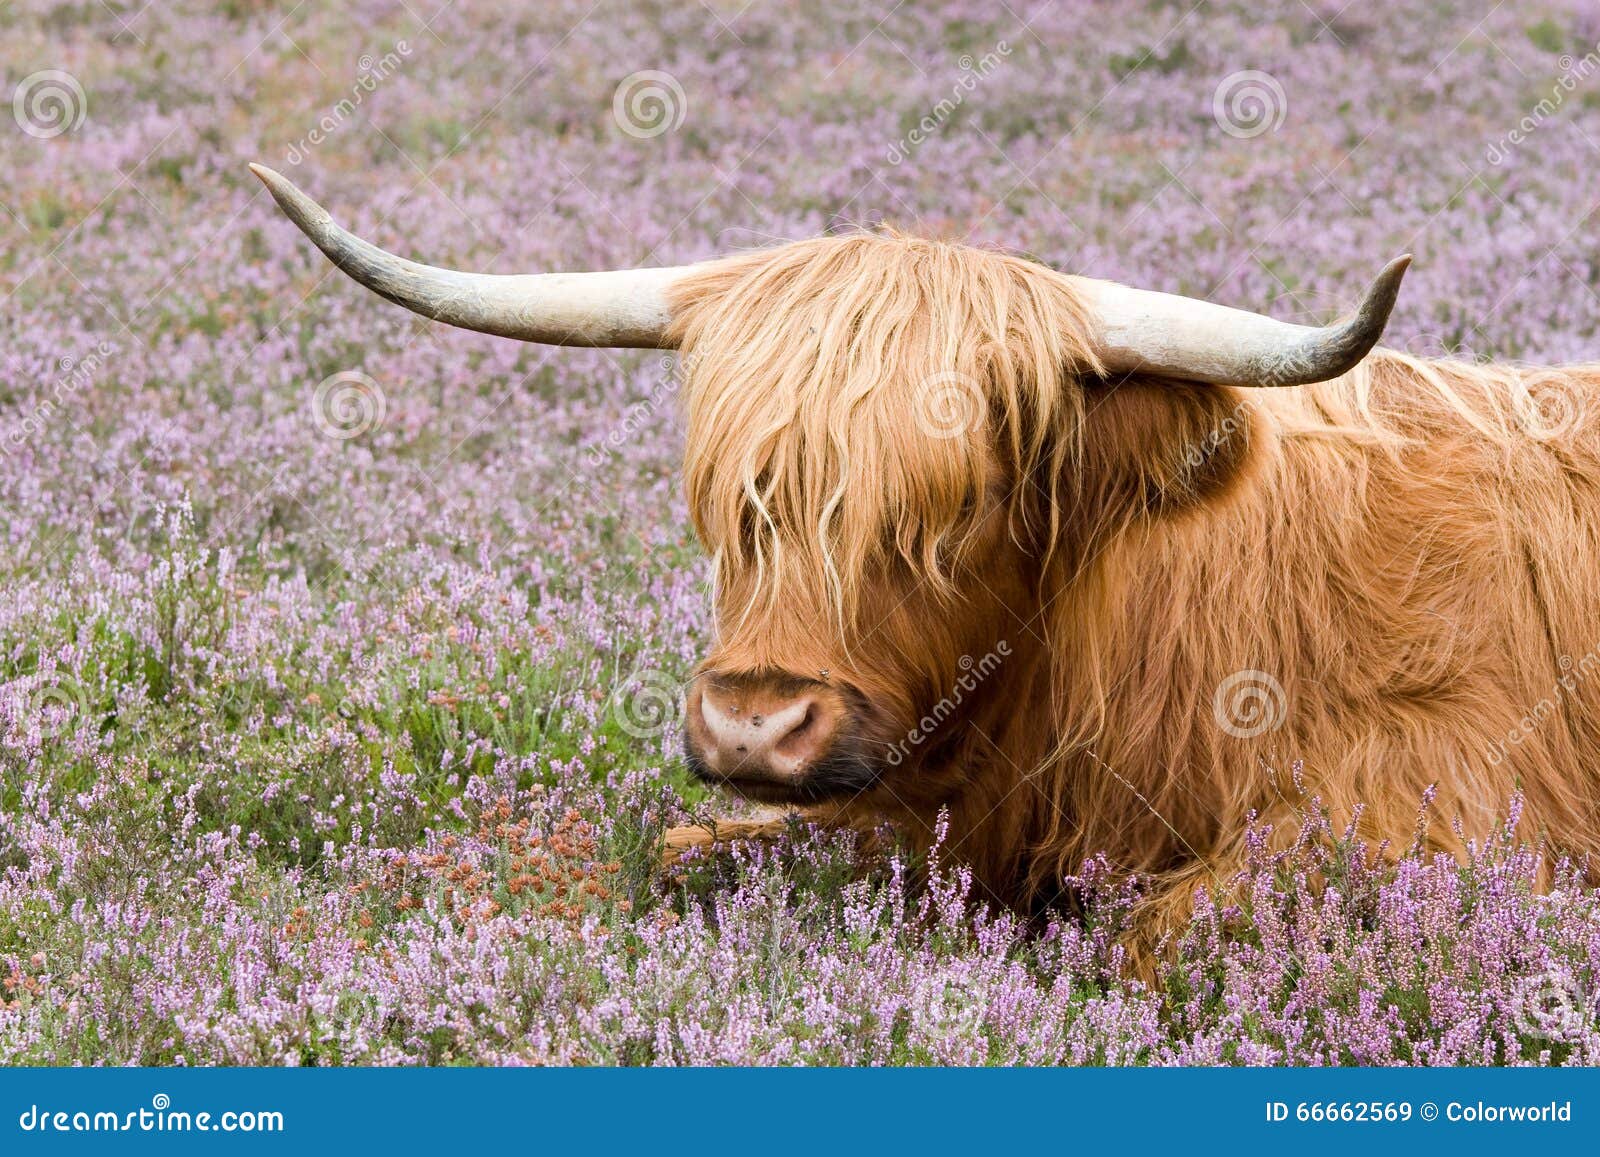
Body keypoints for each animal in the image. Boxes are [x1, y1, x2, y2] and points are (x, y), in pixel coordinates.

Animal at [252, 163, 1600, 944]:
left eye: (954, 511)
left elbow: (1162, 938)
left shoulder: (1435, 816)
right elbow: (673, 851)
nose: (753, 725)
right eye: (733, 500)